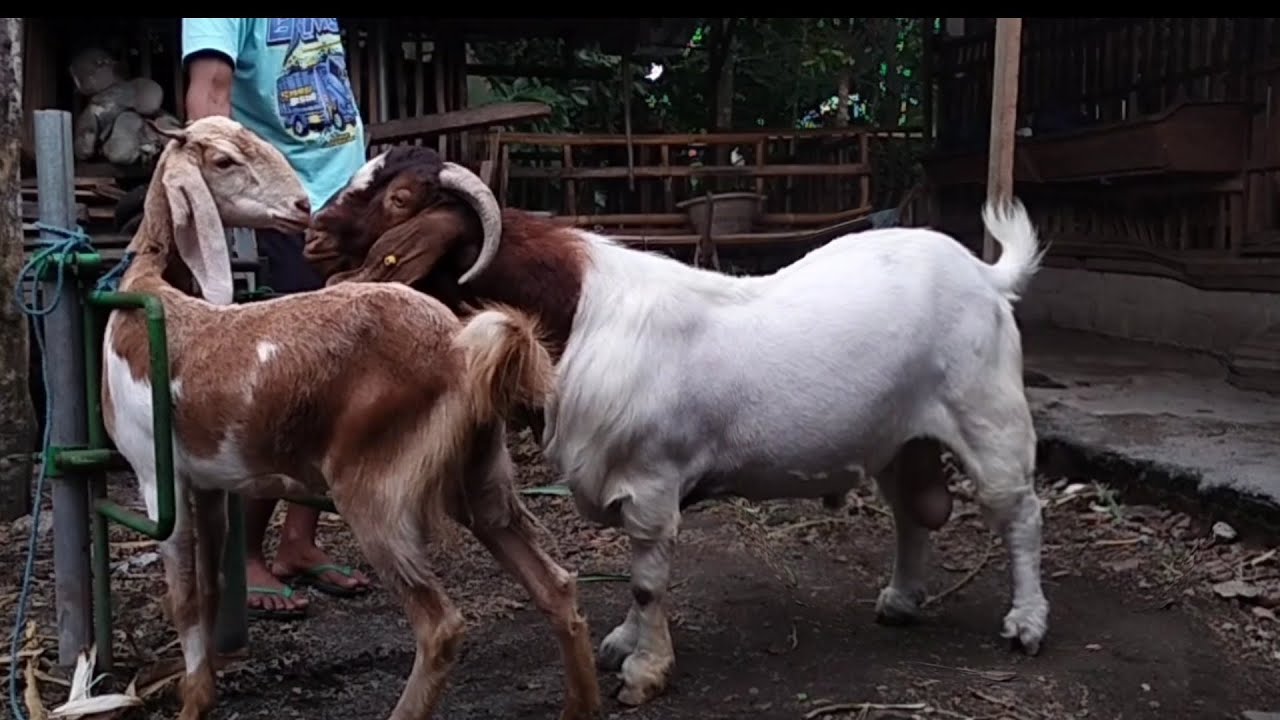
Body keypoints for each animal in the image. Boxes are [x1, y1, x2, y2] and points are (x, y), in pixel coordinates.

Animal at [102, 119, 600, 720]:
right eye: (223, 161)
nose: (301, 209)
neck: (148, 292)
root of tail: (459, 346)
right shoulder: (208, 482)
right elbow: (210, 583)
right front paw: (206, 684)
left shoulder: (157, 476)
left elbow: (183, 593)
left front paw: (193, 700)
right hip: (480, 476)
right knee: (557, 585)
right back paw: (581, 704)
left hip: (374, 488)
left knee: (441, 625)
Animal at [305, 145, 1050, 707]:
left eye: (400, 200)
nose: (311, 233)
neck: (578, 312)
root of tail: (985, 273)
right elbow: (638, 576)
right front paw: (624, 644)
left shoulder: (652, 480)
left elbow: (647, 580)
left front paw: (645, 672)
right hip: (901, 438)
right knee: (912, 511)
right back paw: (900, 598)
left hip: (989, 416)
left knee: (1018, 511)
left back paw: (1026, 621)